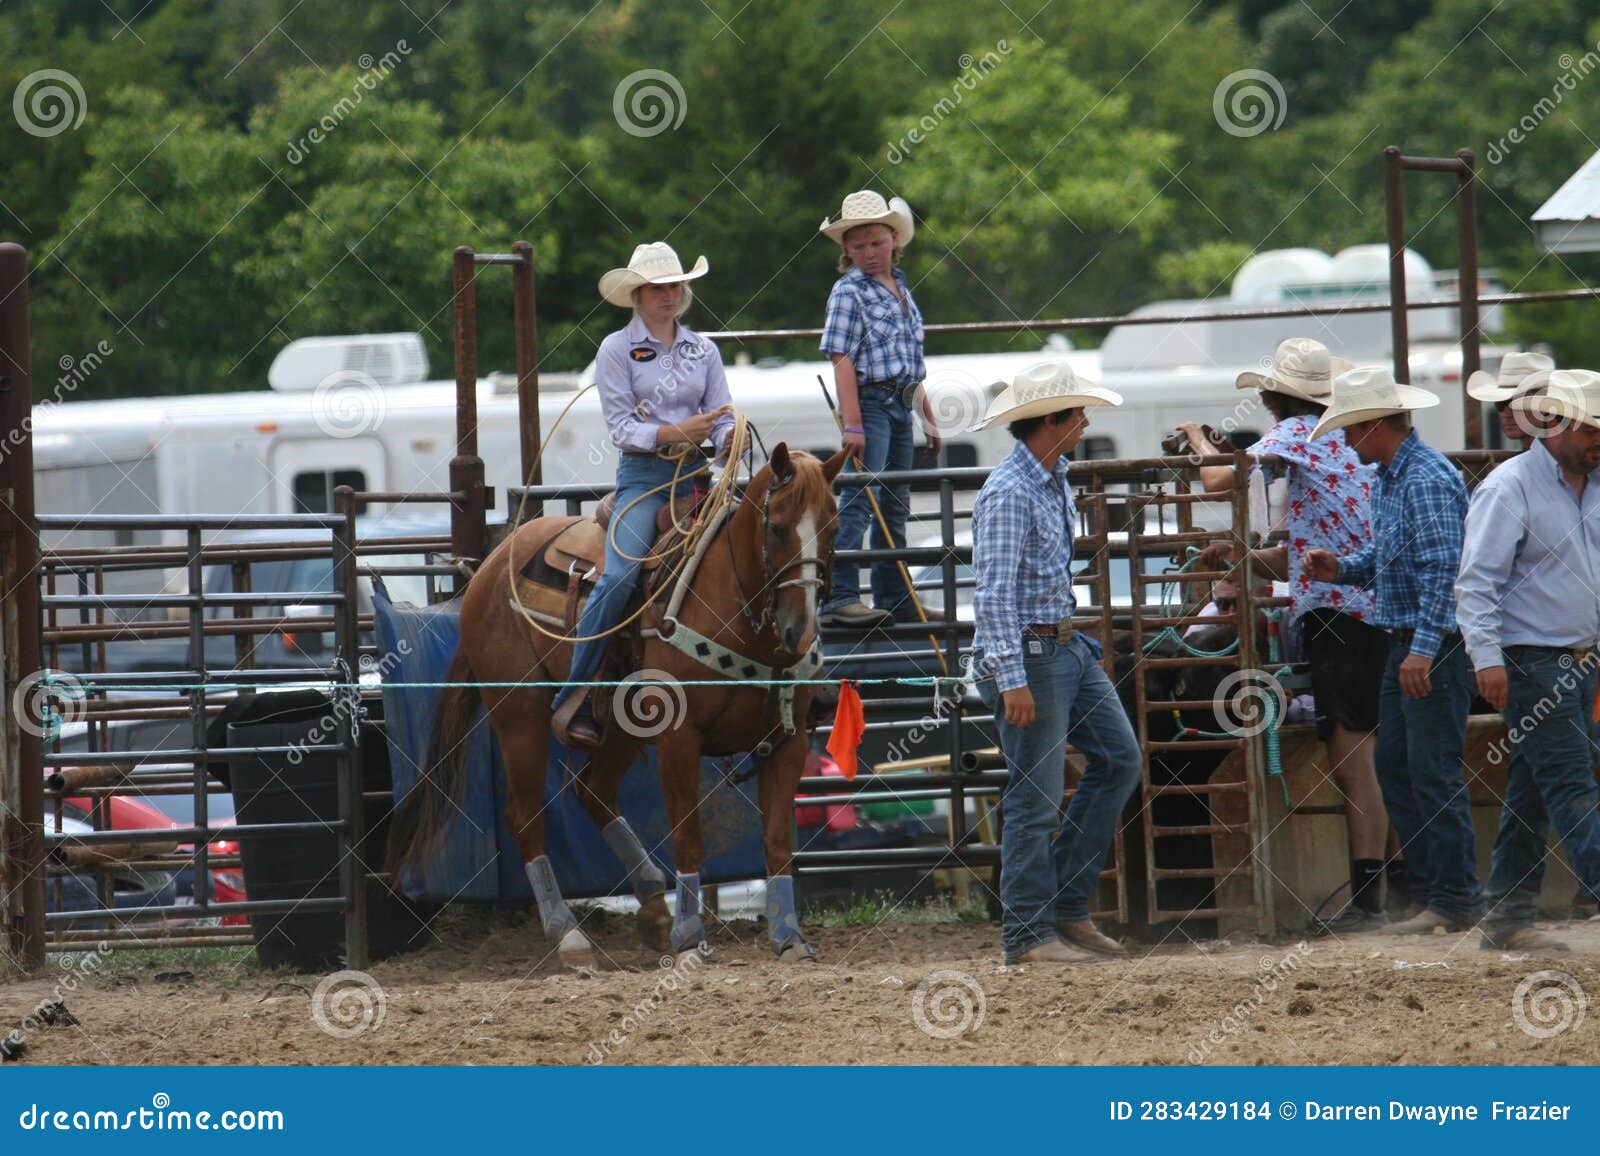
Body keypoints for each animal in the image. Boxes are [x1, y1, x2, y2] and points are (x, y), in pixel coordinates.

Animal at [386, 443, 848, 967]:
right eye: (777, 527)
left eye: (833, 528)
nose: (800, 632)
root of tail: (486, 568)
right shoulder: (679, 738)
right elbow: (688, 836)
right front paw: (691, 938)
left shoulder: (788, 743)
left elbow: (776, 842)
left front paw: (789, 937)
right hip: (519, 716)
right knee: (525, 814)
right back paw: (568, 934)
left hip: (622, 728)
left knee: (593, 790)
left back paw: (652, 904)